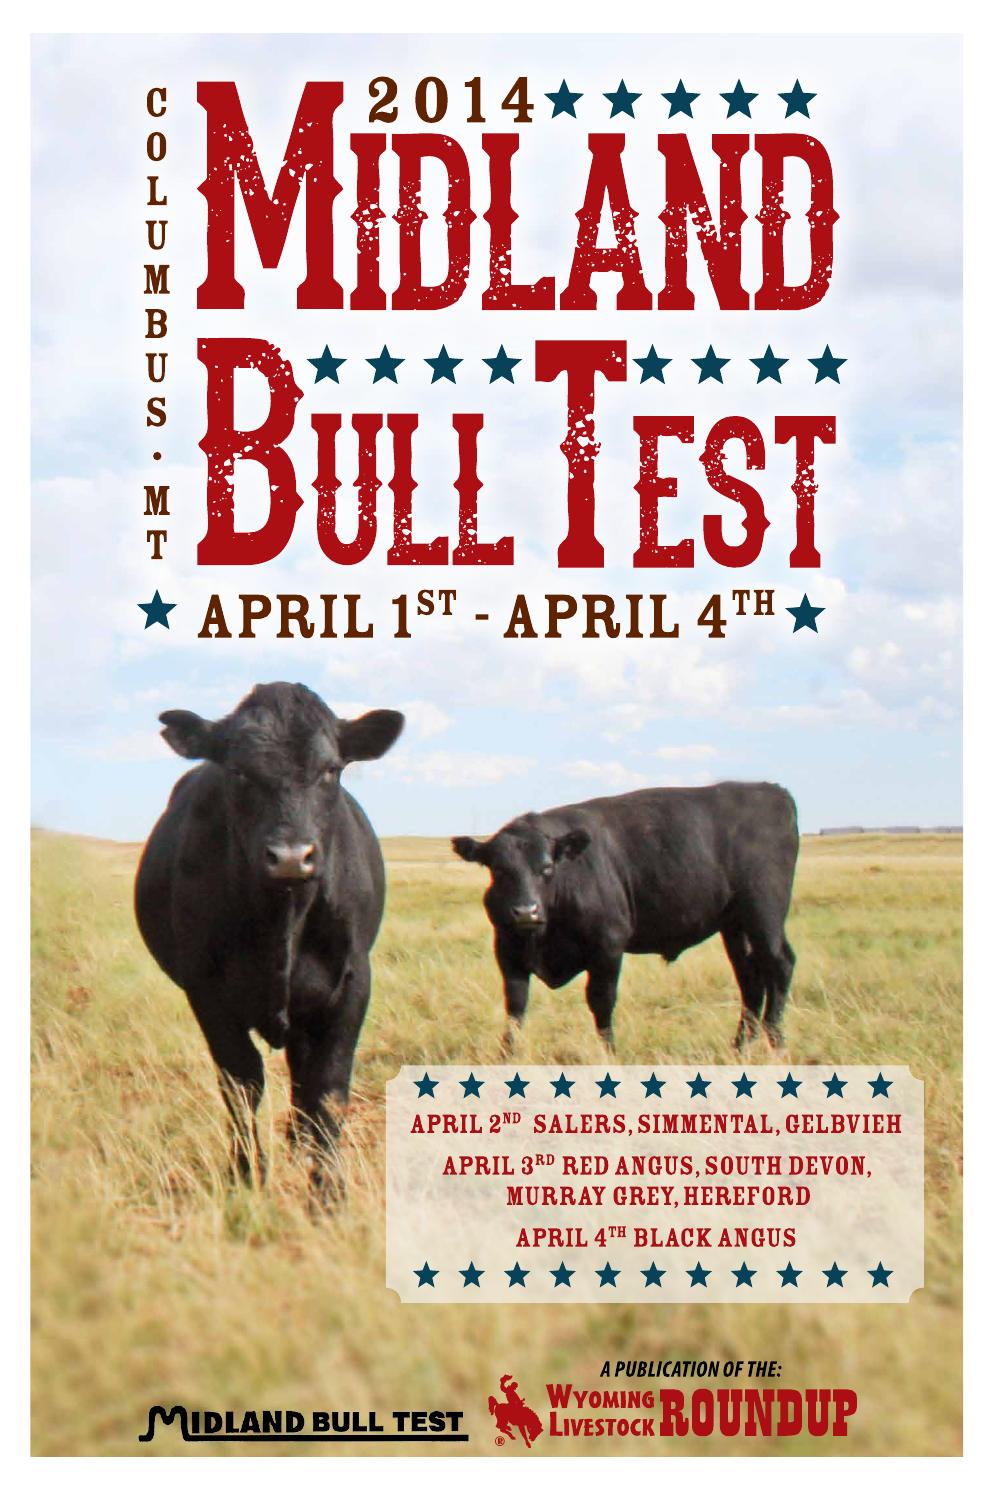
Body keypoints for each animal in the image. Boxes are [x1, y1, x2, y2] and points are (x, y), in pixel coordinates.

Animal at [134, 682, 403, 1199]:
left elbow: (328, 1088)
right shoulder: (206, 991)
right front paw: (246, 1176)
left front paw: (327, 1190)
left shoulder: (353, 983)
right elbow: (241, 1083)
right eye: (238, 771)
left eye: (330, 769)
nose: (291, 856)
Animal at [452, 782, 799, 1052]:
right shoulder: (508, 952)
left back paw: (776, 1041)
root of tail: (772, 790)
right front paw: (507, 1055)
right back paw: (740, 1045)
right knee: (750, 978)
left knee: (779, 965)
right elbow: (515, 1008)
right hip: (736, 926)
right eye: (498, 870)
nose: (527, 911)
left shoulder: (607, 947)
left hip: (764, 914)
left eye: (547, 869)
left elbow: (601, 1002)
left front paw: (610, 1053)